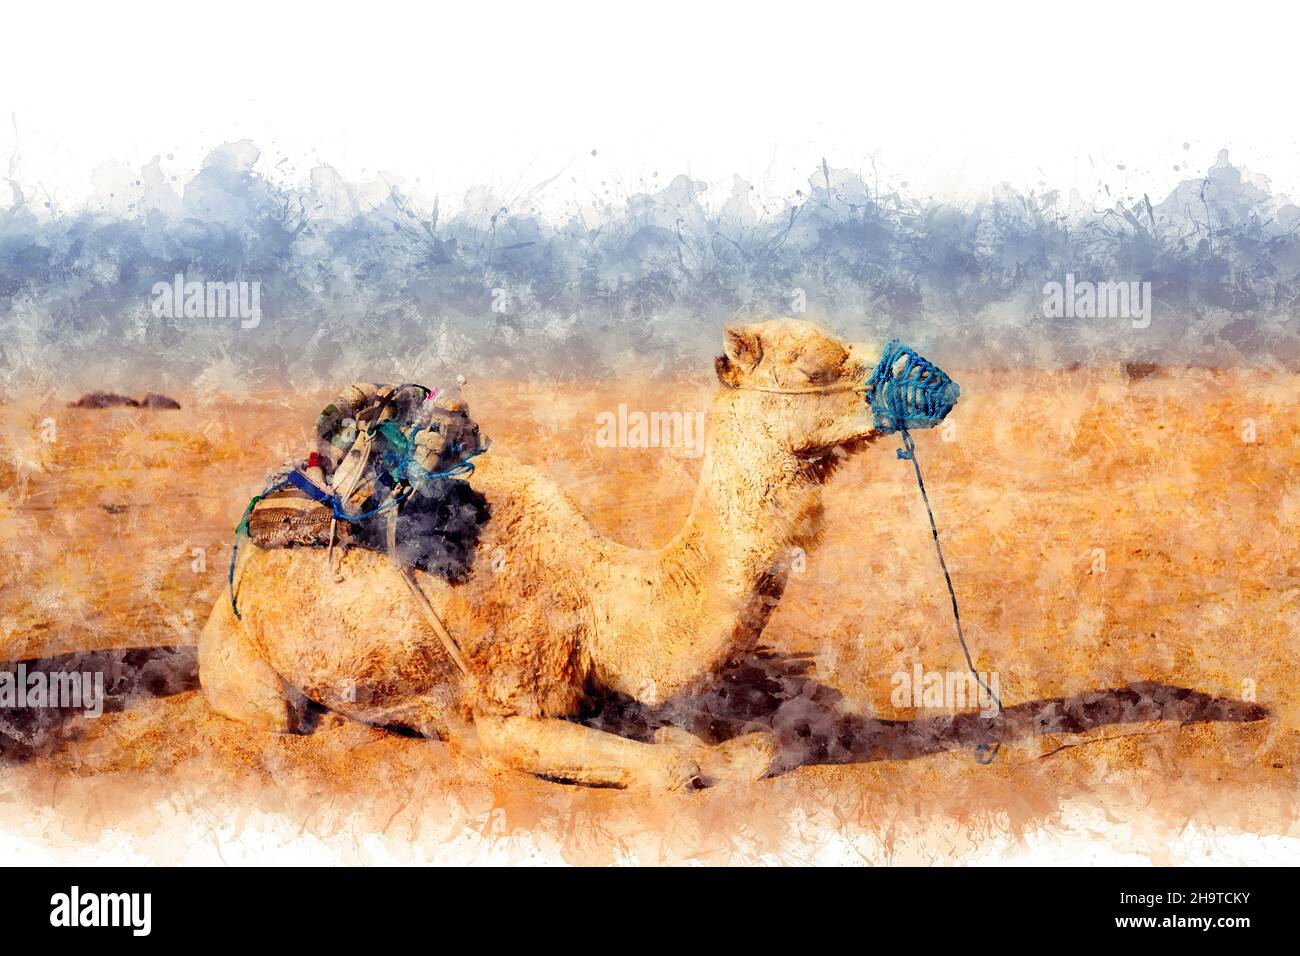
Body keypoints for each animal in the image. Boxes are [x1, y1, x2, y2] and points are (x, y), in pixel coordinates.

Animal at [199, 319, 885, 789]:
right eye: (815, 367)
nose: (904, 373)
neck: (594, 593)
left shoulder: (602, 686)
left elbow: (729, 747)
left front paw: (733, 750)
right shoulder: (506, 714)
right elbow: (673, 769)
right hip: (239, 660)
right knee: (281, 711)